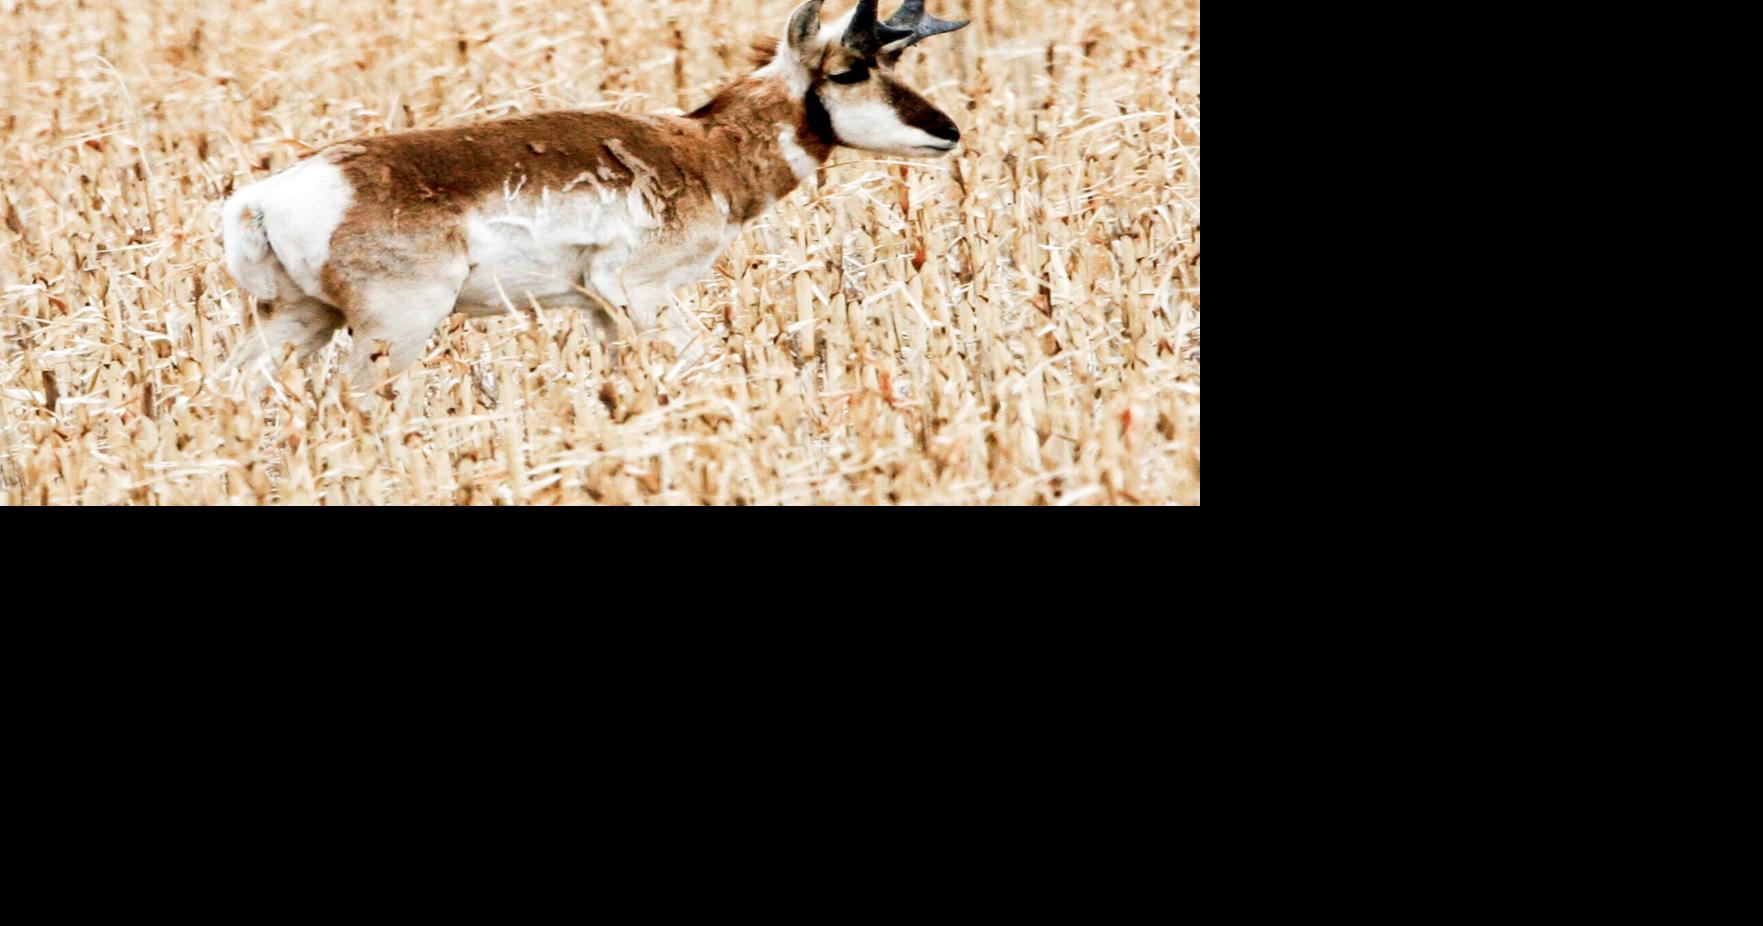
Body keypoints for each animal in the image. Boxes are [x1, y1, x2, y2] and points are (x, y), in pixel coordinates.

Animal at [219, 0, 969, 393]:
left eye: (894, 61)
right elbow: (698, 360)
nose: (948, 132)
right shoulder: (639, 293)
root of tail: (268, 197)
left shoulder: (602, 312)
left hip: (297, 321)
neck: (702, 150)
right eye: (846, 71)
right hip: (392, 329)